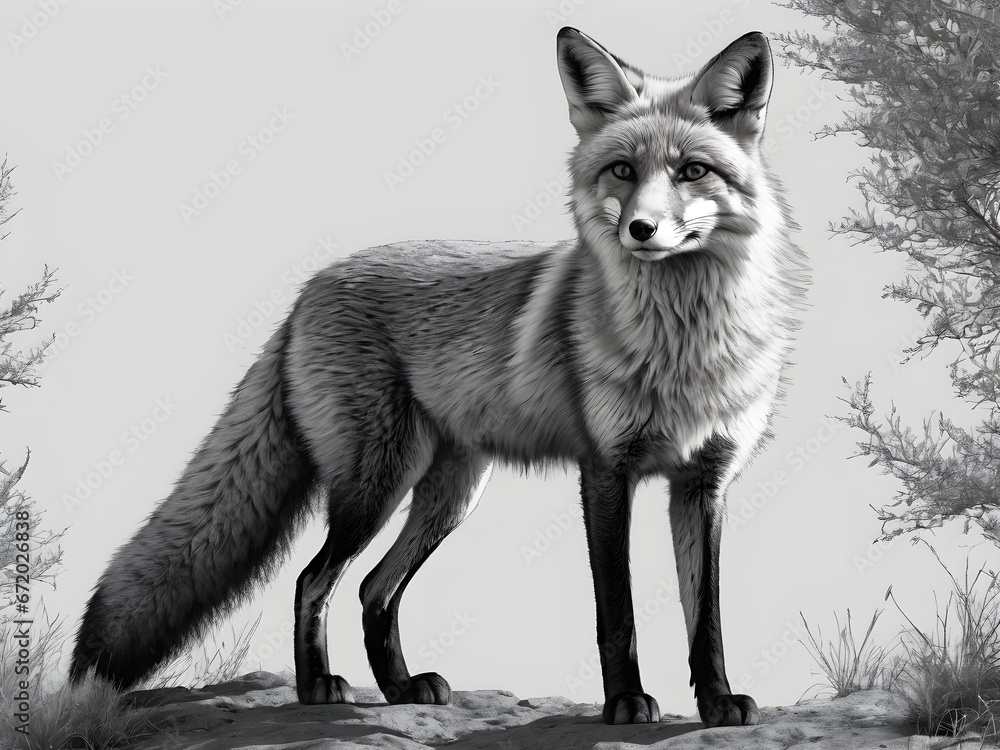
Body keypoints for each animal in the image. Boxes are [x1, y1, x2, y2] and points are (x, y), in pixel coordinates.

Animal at [71, 27, 807, 727]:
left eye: (693, 171)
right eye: (622, 170)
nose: (641, 229)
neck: (684, 345)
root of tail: (306, 291)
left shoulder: (704, 482)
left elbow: (706, 619)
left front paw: (719, 703)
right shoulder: (606, 470)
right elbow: (616, 614)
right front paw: (625, 703)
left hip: (449, 493)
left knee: (372, 588)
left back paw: (400, 689)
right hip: (376, 482)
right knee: (313, 579)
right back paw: (317, 689)